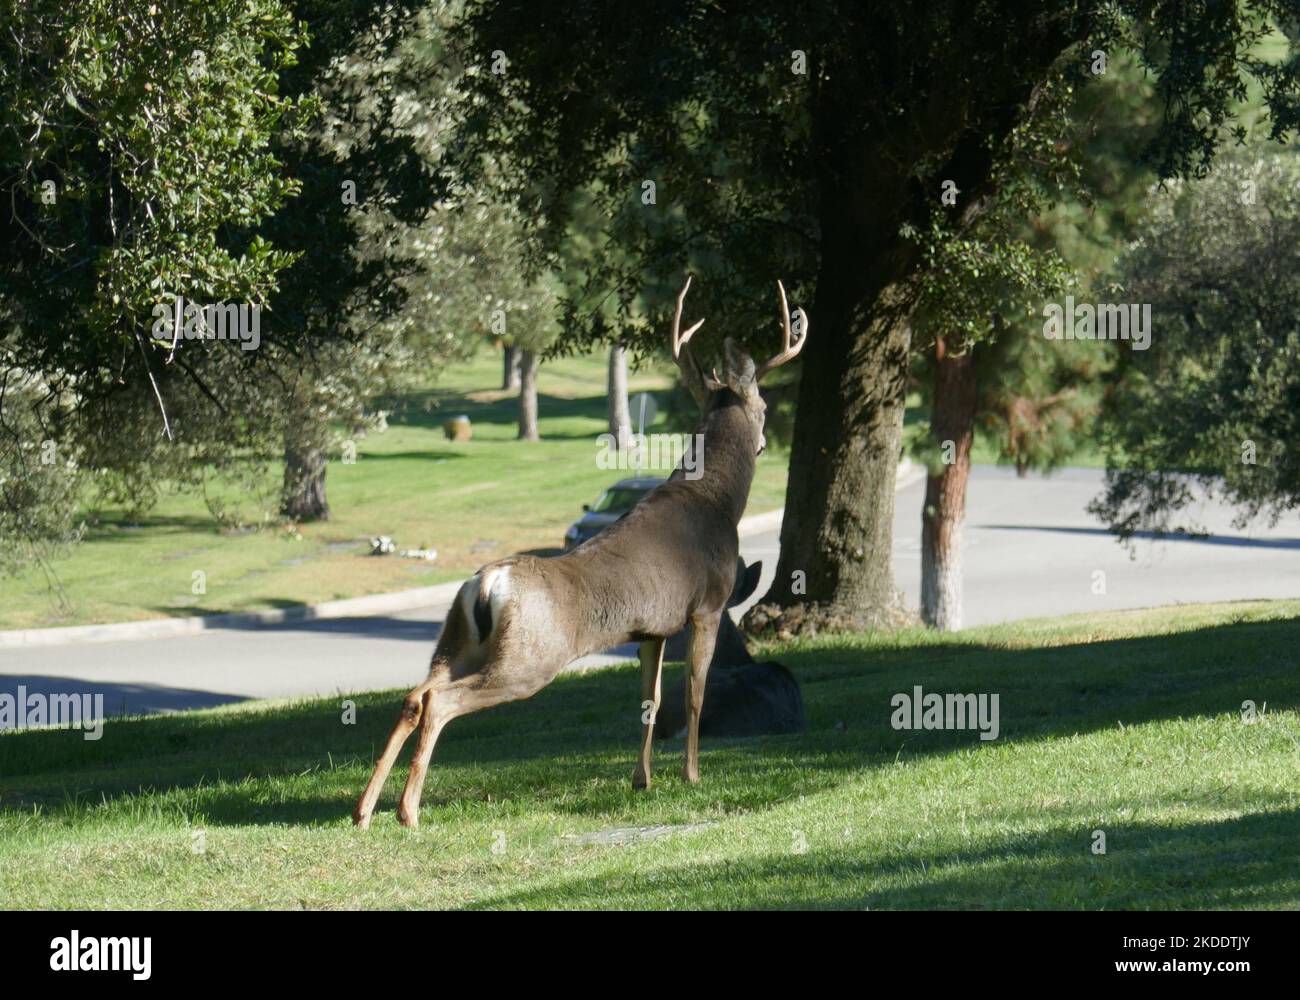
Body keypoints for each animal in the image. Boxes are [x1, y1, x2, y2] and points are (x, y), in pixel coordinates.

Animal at [353, 276, 807, 828]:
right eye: (762, 407)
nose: (764, 440)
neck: (718, 499)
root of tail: (486, 584)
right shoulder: (708, 605)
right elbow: (695, 692)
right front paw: (692, 775)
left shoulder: (652, 629)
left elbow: (651, 698)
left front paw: (642, 779)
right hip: (529, 659)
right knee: (439, 701)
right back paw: (407, 811)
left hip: (458, 641)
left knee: (415, 694)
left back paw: (364, 810)